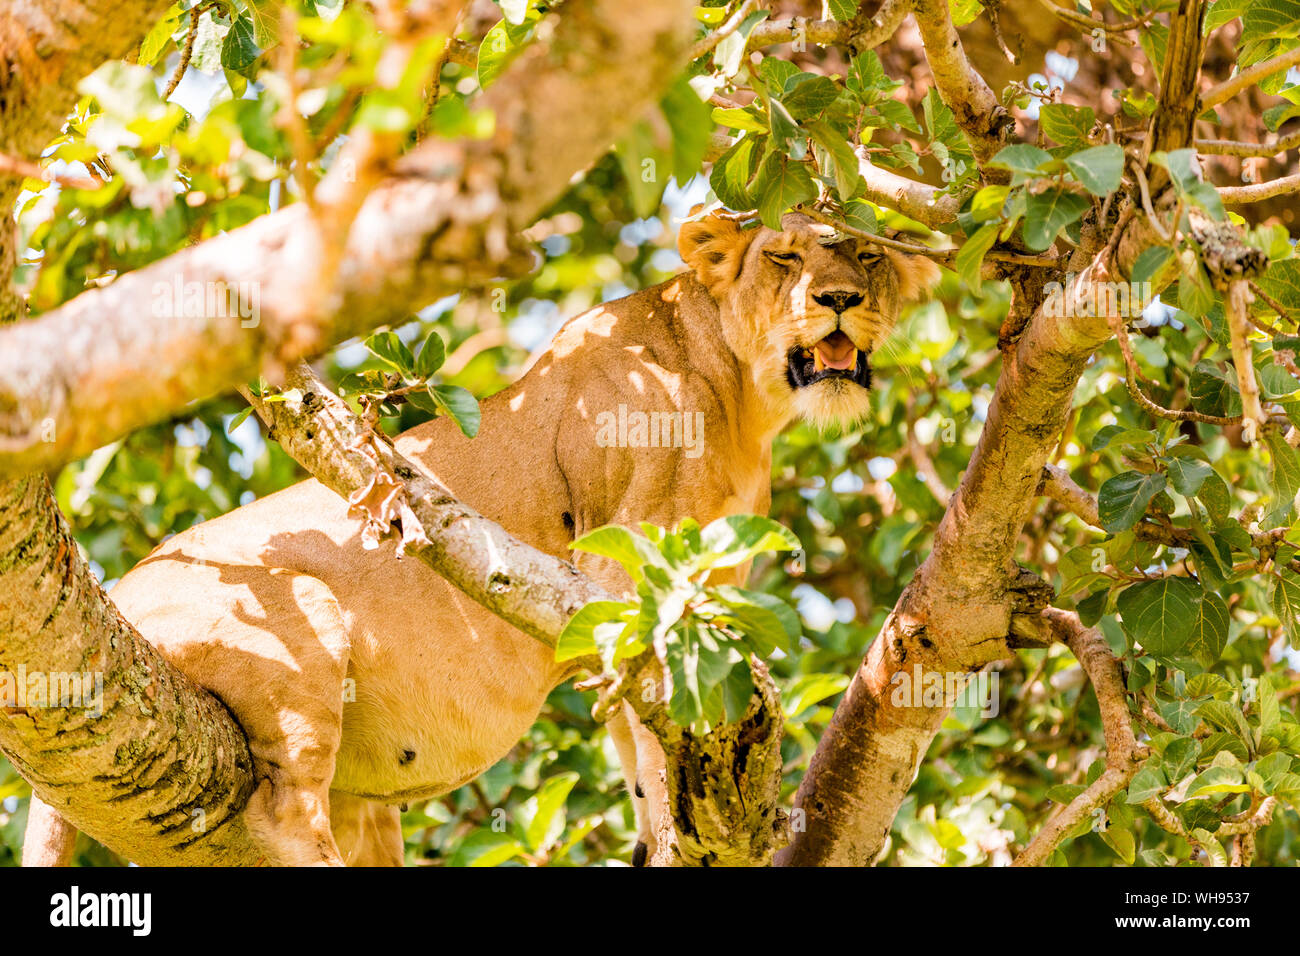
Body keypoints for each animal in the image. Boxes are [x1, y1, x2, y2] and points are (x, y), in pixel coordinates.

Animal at [23, 210, 938, 867]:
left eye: (866, 257)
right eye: (783, 259)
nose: (840, 300)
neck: (748, 401)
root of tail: (114, 594)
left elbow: (640, 752)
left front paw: (660, 836)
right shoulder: (621, 571)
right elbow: (654, 722)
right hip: (299, 625)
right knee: (286, 814)